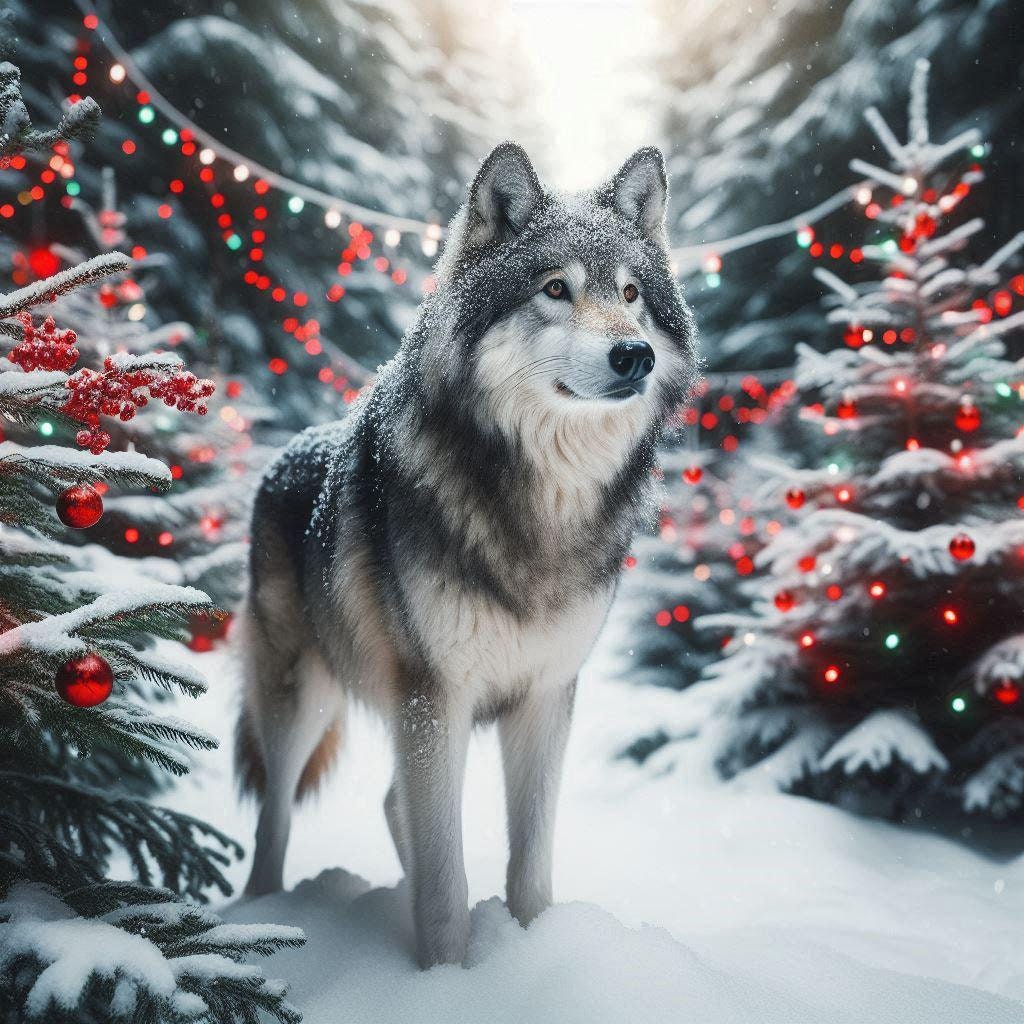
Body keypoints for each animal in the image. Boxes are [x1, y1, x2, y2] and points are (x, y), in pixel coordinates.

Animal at [236, 142, 697, 967]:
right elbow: (446, 883)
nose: (635, 354)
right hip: (300, 697)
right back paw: (261, 921)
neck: (543, 505)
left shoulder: (548, 696)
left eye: (632, 293)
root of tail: (288, 450)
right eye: (555, 289)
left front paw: (528, 948)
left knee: (395, 804)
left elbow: (529, 865)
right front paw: (447, 974)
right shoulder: (435, 694)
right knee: (276, 818)